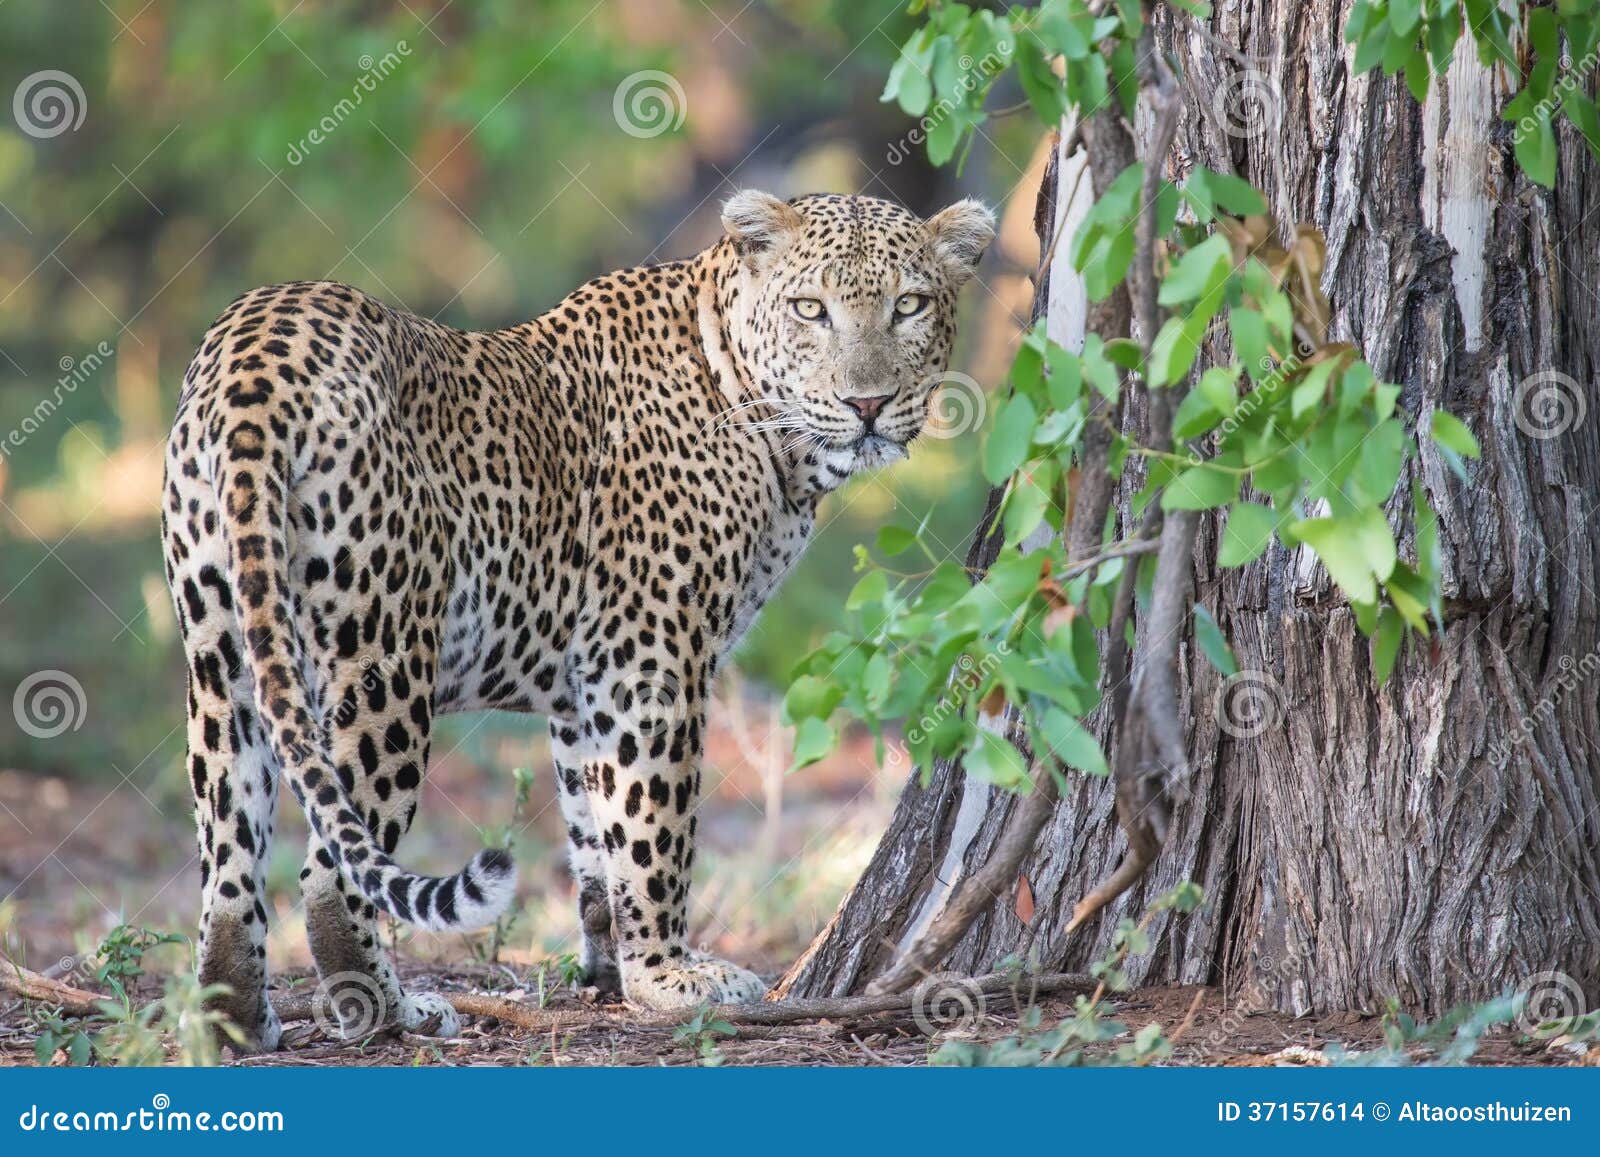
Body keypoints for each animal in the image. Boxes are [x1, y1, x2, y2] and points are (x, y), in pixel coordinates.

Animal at [161, 189, 994, 1050]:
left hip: (222, 650)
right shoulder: (651, 657)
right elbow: (655, 825)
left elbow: (597, 832)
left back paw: (236, 1018)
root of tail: (255, 344)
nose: (868, 404)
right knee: (332, 871)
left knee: (230, 856)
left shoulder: (581, 684)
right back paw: (392, 1011)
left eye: (908, 305)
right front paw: (668, 976)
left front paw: (605, 971)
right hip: (383, 659)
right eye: (811, 309)